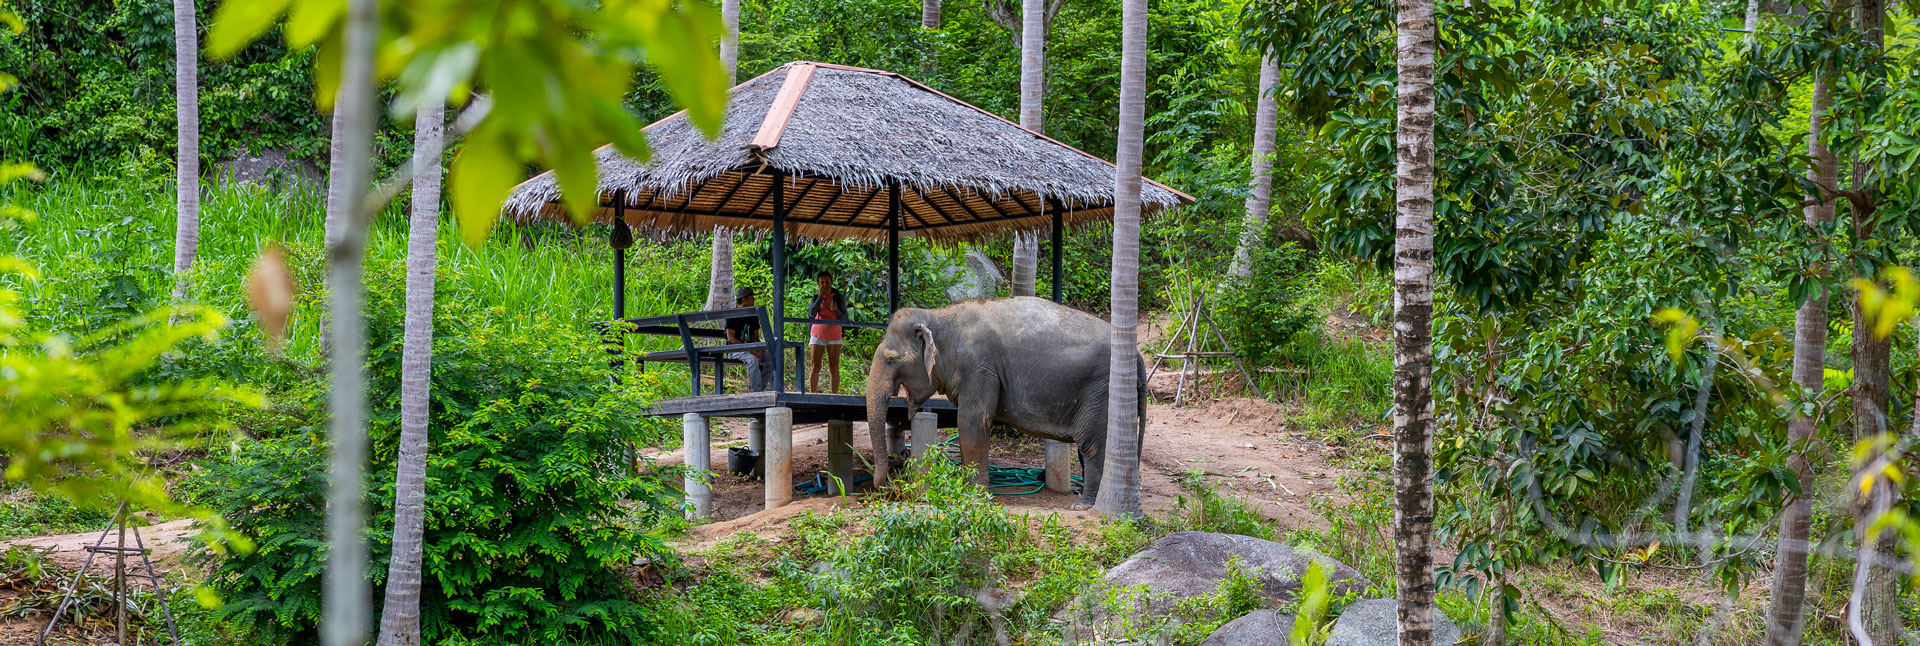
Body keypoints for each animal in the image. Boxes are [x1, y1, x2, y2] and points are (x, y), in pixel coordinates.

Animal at [864, 296, 1147, 509]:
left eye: (891, 359)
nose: (887, 486)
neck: (938, 315)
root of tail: (1137, 355)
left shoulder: (979, 366)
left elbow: (970, 422)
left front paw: (974, 496)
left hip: (1101, 388)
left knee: (1092, 445)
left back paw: (1084, 505)